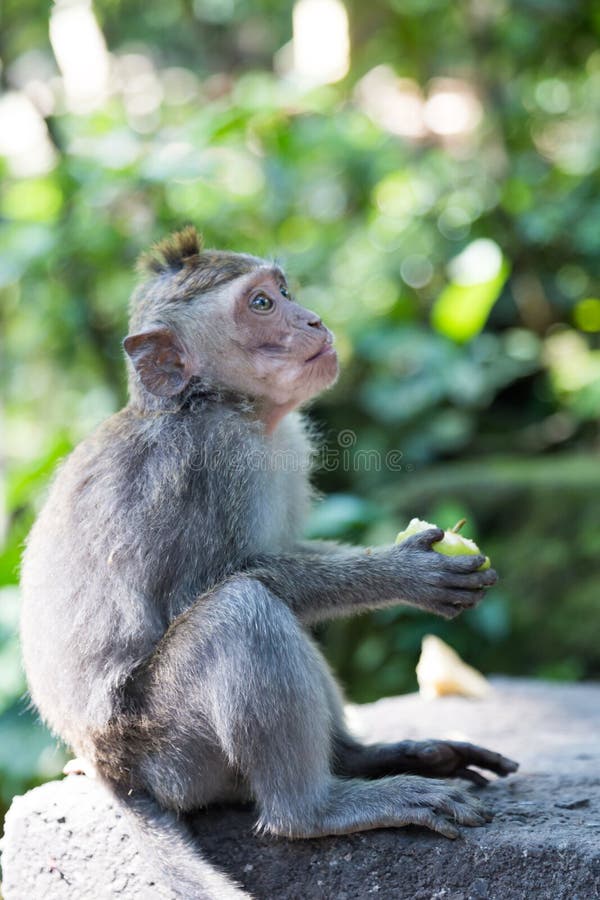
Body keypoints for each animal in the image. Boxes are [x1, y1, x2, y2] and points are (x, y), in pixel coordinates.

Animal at [20, 226, 517, 899]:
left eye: (284, 291)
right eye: (261, 305)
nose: (313, 319)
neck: (225, 406)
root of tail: (112, 773)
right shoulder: (205, 462)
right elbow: (207, 589)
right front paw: (403, 574)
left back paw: (364, 758)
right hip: (173, 756)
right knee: (241, 610)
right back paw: (315, 809)